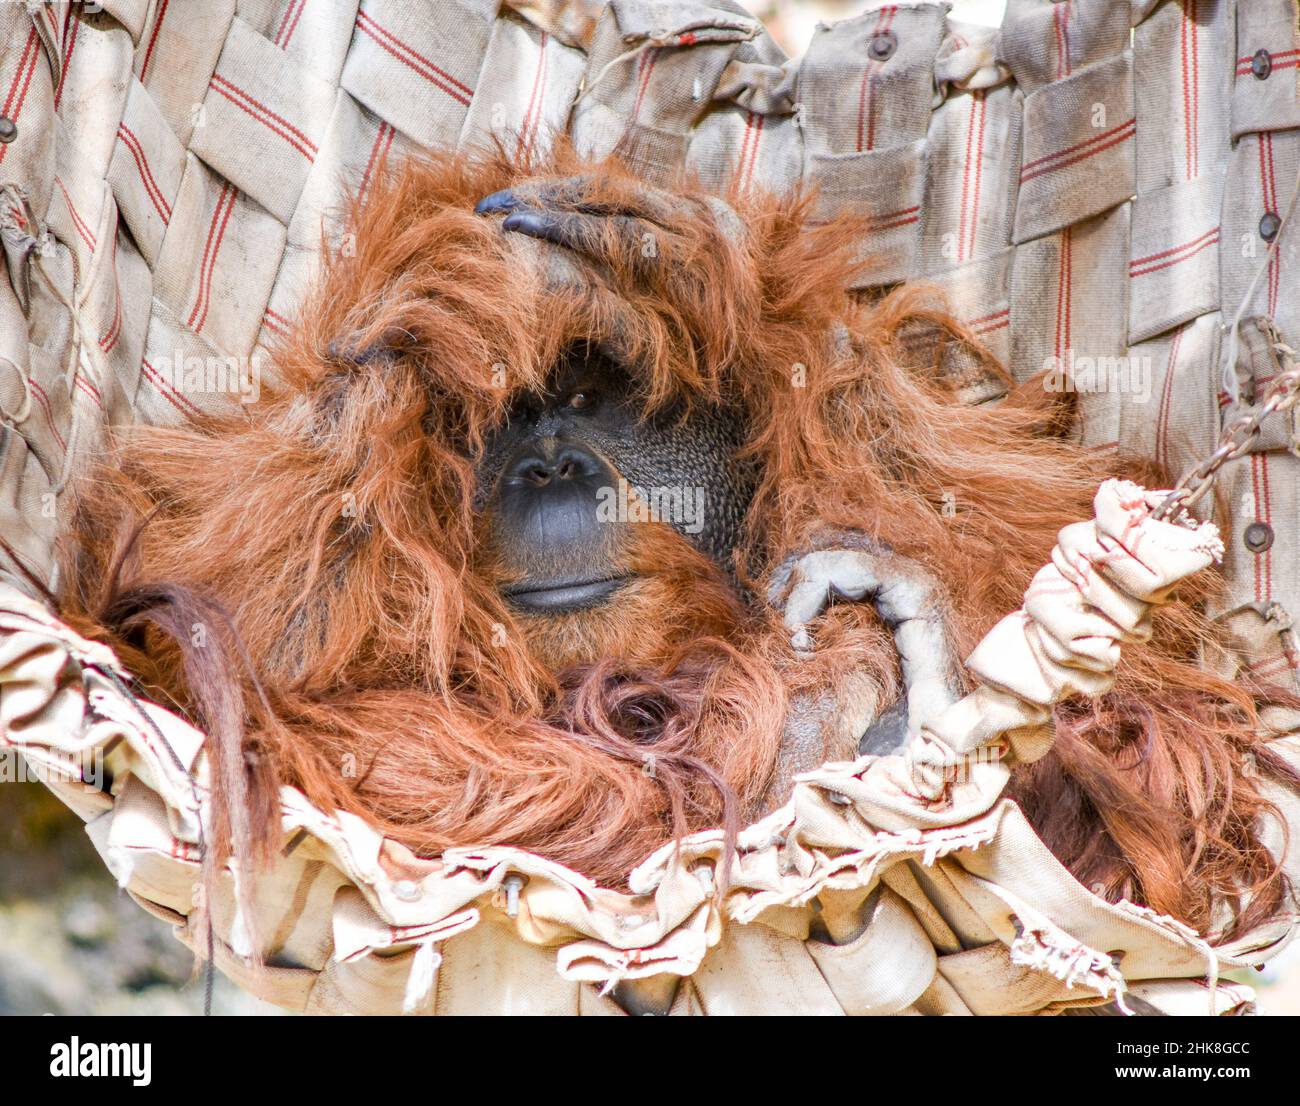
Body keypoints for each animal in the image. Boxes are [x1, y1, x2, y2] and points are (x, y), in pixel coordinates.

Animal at [53, 146, 1299, 943]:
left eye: (591, 396)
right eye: (507, 417)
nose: (550, 471)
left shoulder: (931, 445)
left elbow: (1166, 731)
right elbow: (283, 678)